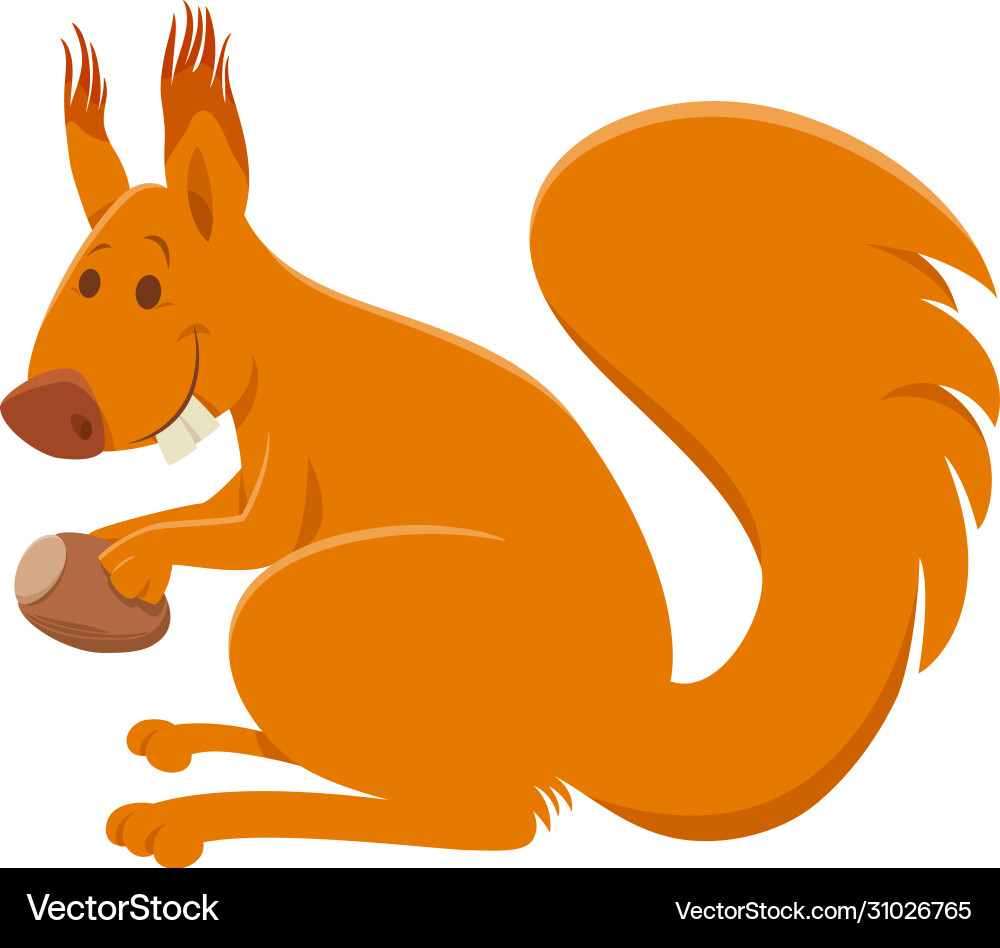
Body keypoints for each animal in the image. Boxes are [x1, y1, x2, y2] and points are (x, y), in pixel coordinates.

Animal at [2, 6, 995, 868]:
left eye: (146, 290)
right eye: (77, 278)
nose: (41, 412)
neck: (273, 337)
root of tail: (615, 713)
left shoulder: (291, 448)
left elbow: (251, 533)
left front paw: (137, 558)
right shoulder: (256, 458)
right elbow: (214, 508)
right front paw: (115, 540)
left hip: (329, 612)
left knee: (495, 815)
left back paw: (197, 814)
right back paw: (198, 742)